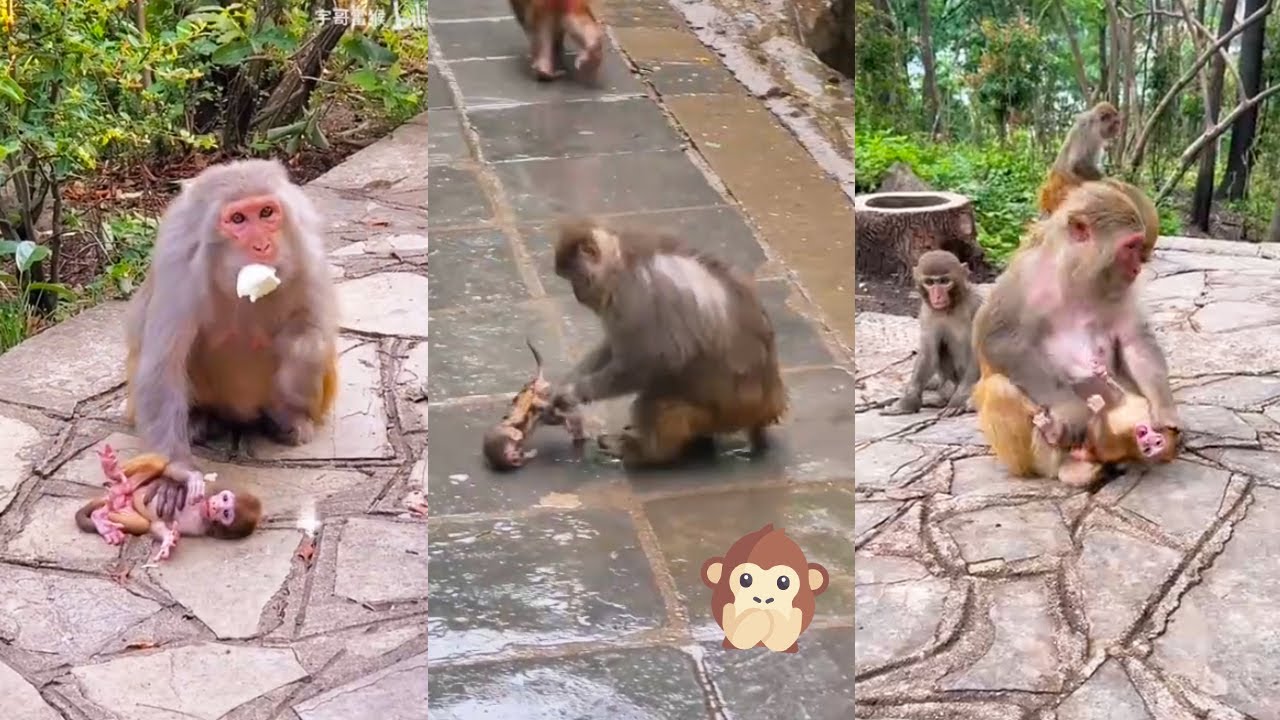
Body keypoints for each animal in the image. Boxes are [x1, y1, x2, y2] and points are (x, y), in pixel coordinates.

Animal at [74, 448, 262, 566]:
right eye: (224, 498)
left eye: (226, 513)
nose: (215, 506)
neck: (202, 508)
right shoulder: (210, 489)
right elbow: (174, 472)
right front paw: (192, 479)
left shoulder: (201, 527)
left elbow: (157, 525)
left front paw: (167, 541)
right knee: (159, 463)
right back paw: (114, 473)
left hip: (125, 507)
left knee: (140, 523)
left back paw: (102, 517)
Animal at [123, 159, 339, 522]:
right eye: (238, 220)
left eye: (266, 212)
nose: (262, 246)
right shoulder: (179, 266)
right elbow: (162, 368)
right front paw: (176, 474)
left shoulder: (307, 250)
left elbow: (314, 332)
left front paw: (294, 368)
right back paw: (200, 419)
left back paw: (287, 418)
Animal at [549, 218, 787, 467]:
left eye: (575, 277)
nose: (576, 293)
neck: (621, 260)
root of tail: (768, 405)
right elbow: (616, 347)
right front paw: (564, 383)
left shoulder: (632, 294)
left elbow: (654, 358)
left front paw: (573, 393)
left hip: (725, 412)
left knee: (657, 400)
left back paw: (646, 453)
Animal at [881, 250, 982, 418]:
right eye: (929, 283)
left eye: (944, 281)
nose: (937, 296)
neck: (951, 307)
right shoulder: (927, 312)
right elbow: (928, 354)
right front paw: (907, 403)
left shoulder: (979, 304)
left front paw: (958, 402)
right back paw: (941, 399)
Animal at [971, 181, 1181, 487]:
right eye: (1130, 246)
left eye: (1138, 245)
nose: (1137, 268)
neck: (1075, 275)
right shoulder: (1022, 277)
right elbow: (998, 338)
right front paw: (1069, 410)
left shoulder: (1122, 288)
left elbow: (1135, 340)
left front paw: (1165, 410)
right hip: (1039, 458)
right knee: (1000, 388)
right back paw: (1066, 460)